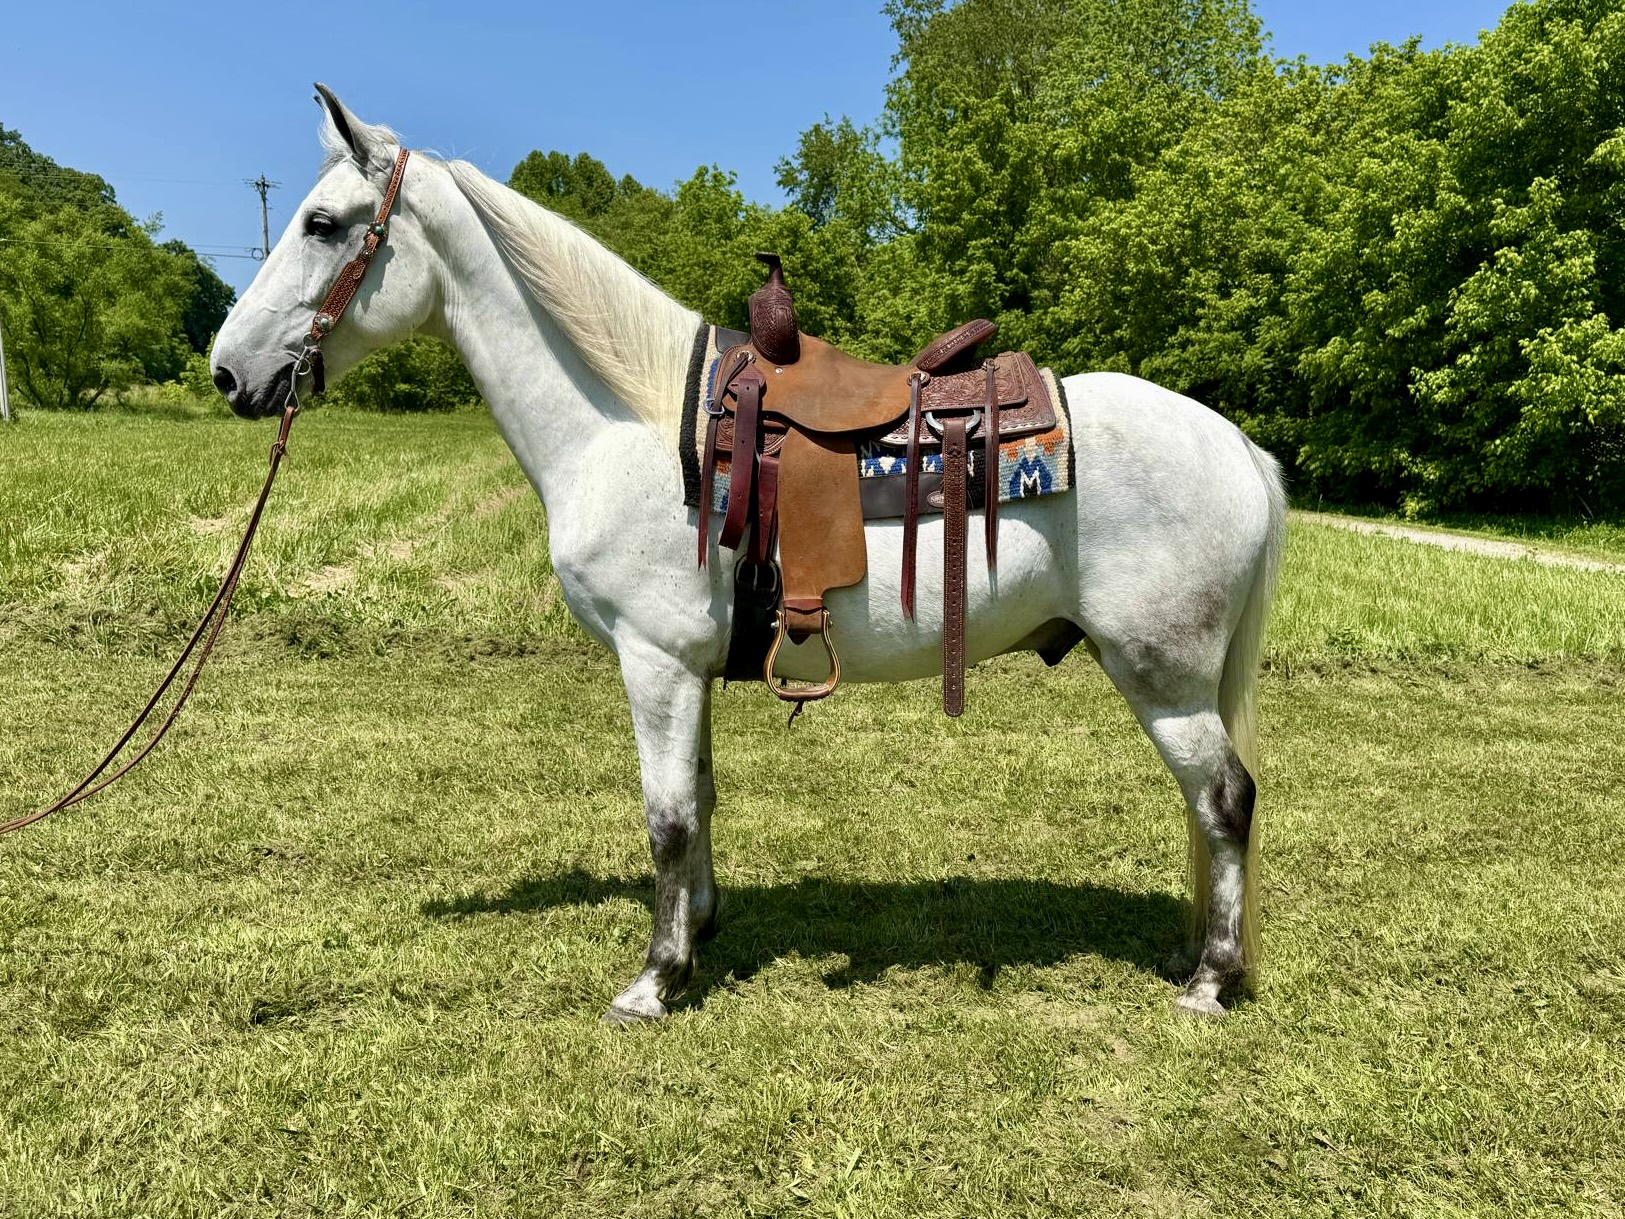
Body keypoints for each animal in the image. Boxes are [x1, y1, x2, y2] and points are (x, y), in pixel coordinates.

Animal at [210, 86, 1286, 1023]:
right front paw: (702, 925)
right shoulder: (688, 665)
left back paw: (1211, 981)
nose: (227, 373)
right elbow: (700, 797)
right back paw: (1193, 954)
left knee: (1224, 798)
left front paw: (656, 978)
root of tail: (1239, 447)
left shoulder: (653, 659)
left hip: (1163, 675)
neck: (632, 426)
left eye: (321, 223)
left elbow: (666, 815)